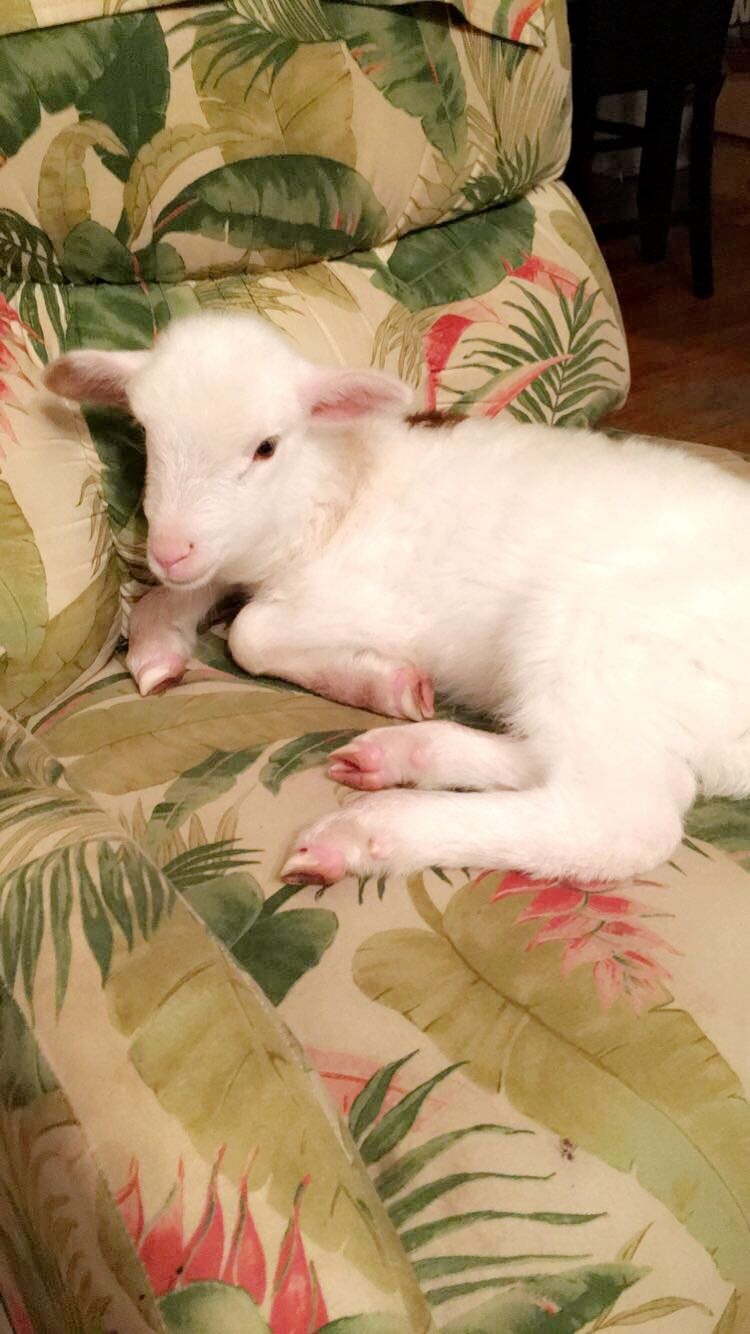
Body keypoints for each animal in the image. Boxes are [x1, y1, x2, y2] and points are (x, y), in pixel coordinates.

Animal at [44, 310, 750, 889]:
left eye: (266, 446)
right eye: (145, 433)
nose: (169, 549)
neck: (332, 486)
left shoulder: (358, 595)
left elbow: (249, 633)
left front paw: (376, 680)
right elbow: (183, 595)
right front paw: (157, 645)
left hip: (594, 636)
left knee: (621, 818)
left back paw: (370, 830)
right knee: (556, 760)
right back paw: (404, 754)